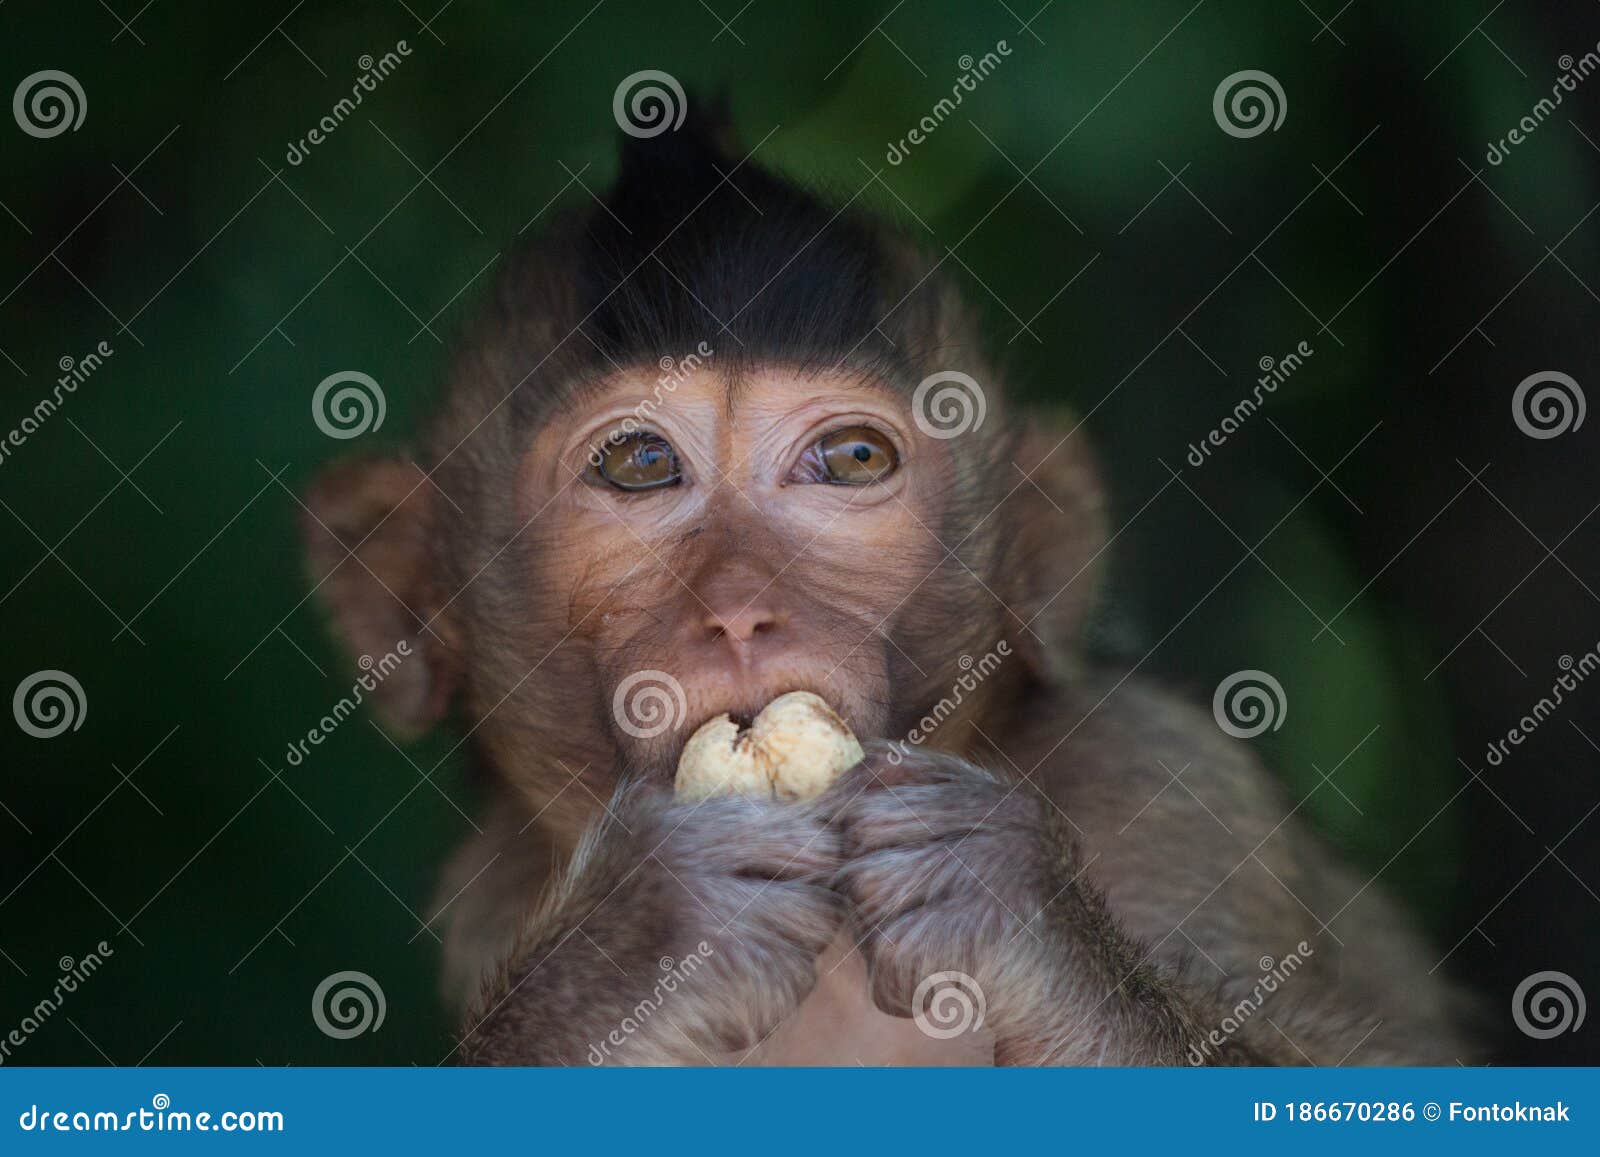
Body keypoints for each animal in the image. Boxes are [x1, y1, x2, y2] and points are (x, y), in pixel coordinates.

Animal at [299, 104, 1478, 1066]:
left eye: (851, 459)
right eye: (637, 463)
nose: (739, 610)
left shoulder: (1169, 787)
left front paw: (1014, 908)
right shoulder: (491, 895)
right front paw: (633, 945)